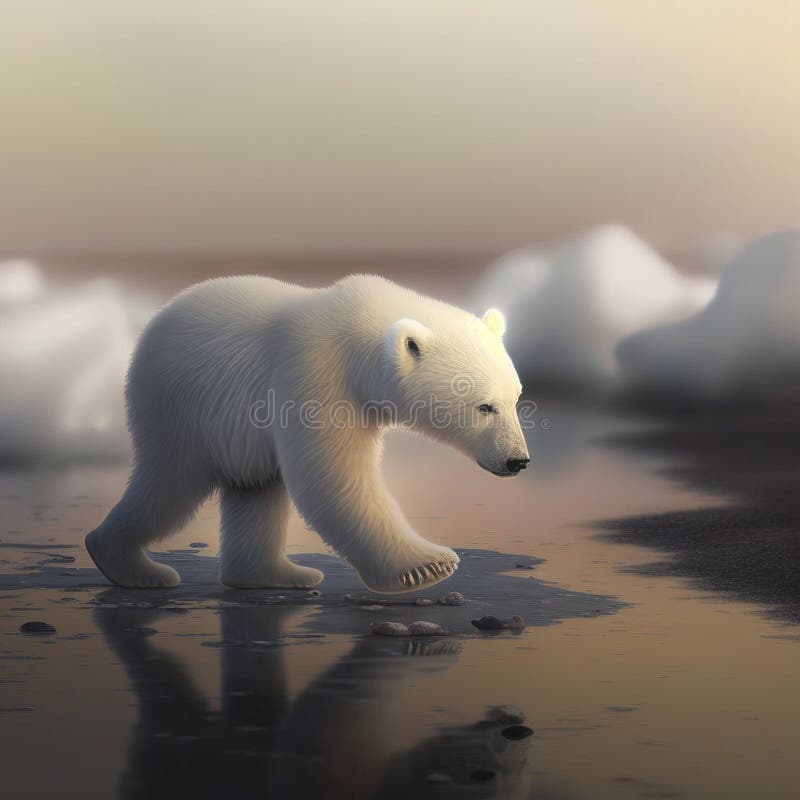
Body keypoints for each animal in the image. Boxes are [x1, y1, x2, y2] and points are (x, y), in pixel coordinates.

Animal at [85, 274, 530, 593]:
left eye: (515, 398)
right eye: (484, 406)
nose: (518, 460)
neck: (359, 333)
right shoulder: (316, 373)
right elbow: (333, 479)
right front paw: (427, 565)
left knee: (256, 489)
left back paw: (278, 574)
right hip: (181, 405)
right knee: (171, 485)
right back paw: (132, 564)